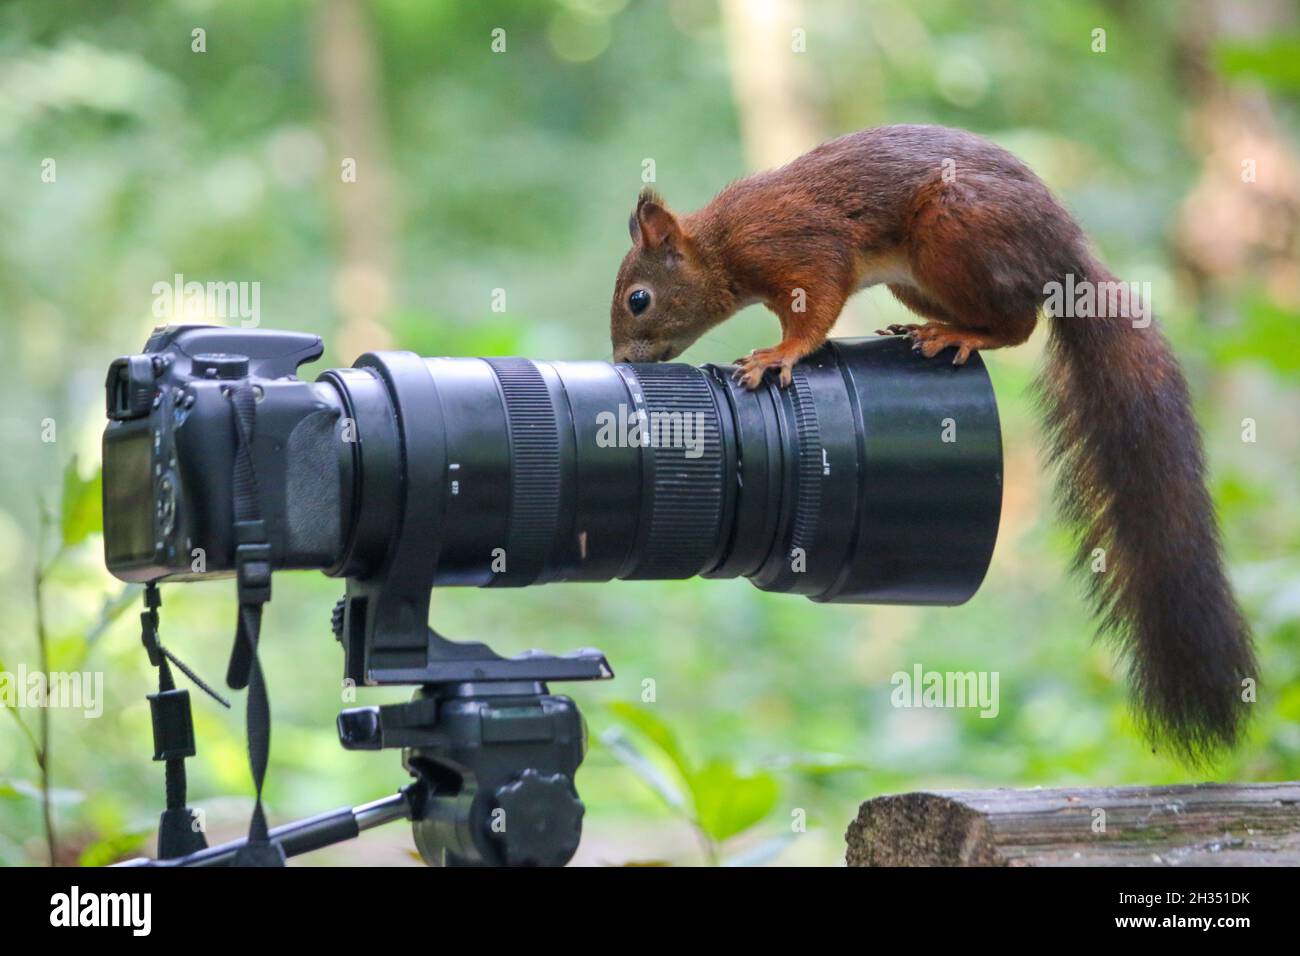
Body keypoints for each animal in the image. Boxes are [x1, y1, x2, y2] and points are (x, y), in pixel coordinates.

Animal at [609, 123, 1255, 762]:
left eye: (638, 299)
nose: (620, 362)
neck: (721, 246)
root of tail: (1065, 257)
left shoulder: (801, 249)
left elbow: (816, 307)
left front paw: (779, 354)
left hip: (952, 233)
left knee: (1018, 324)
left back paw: (960, 335)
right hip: (916, 279)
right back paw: (929, 328)